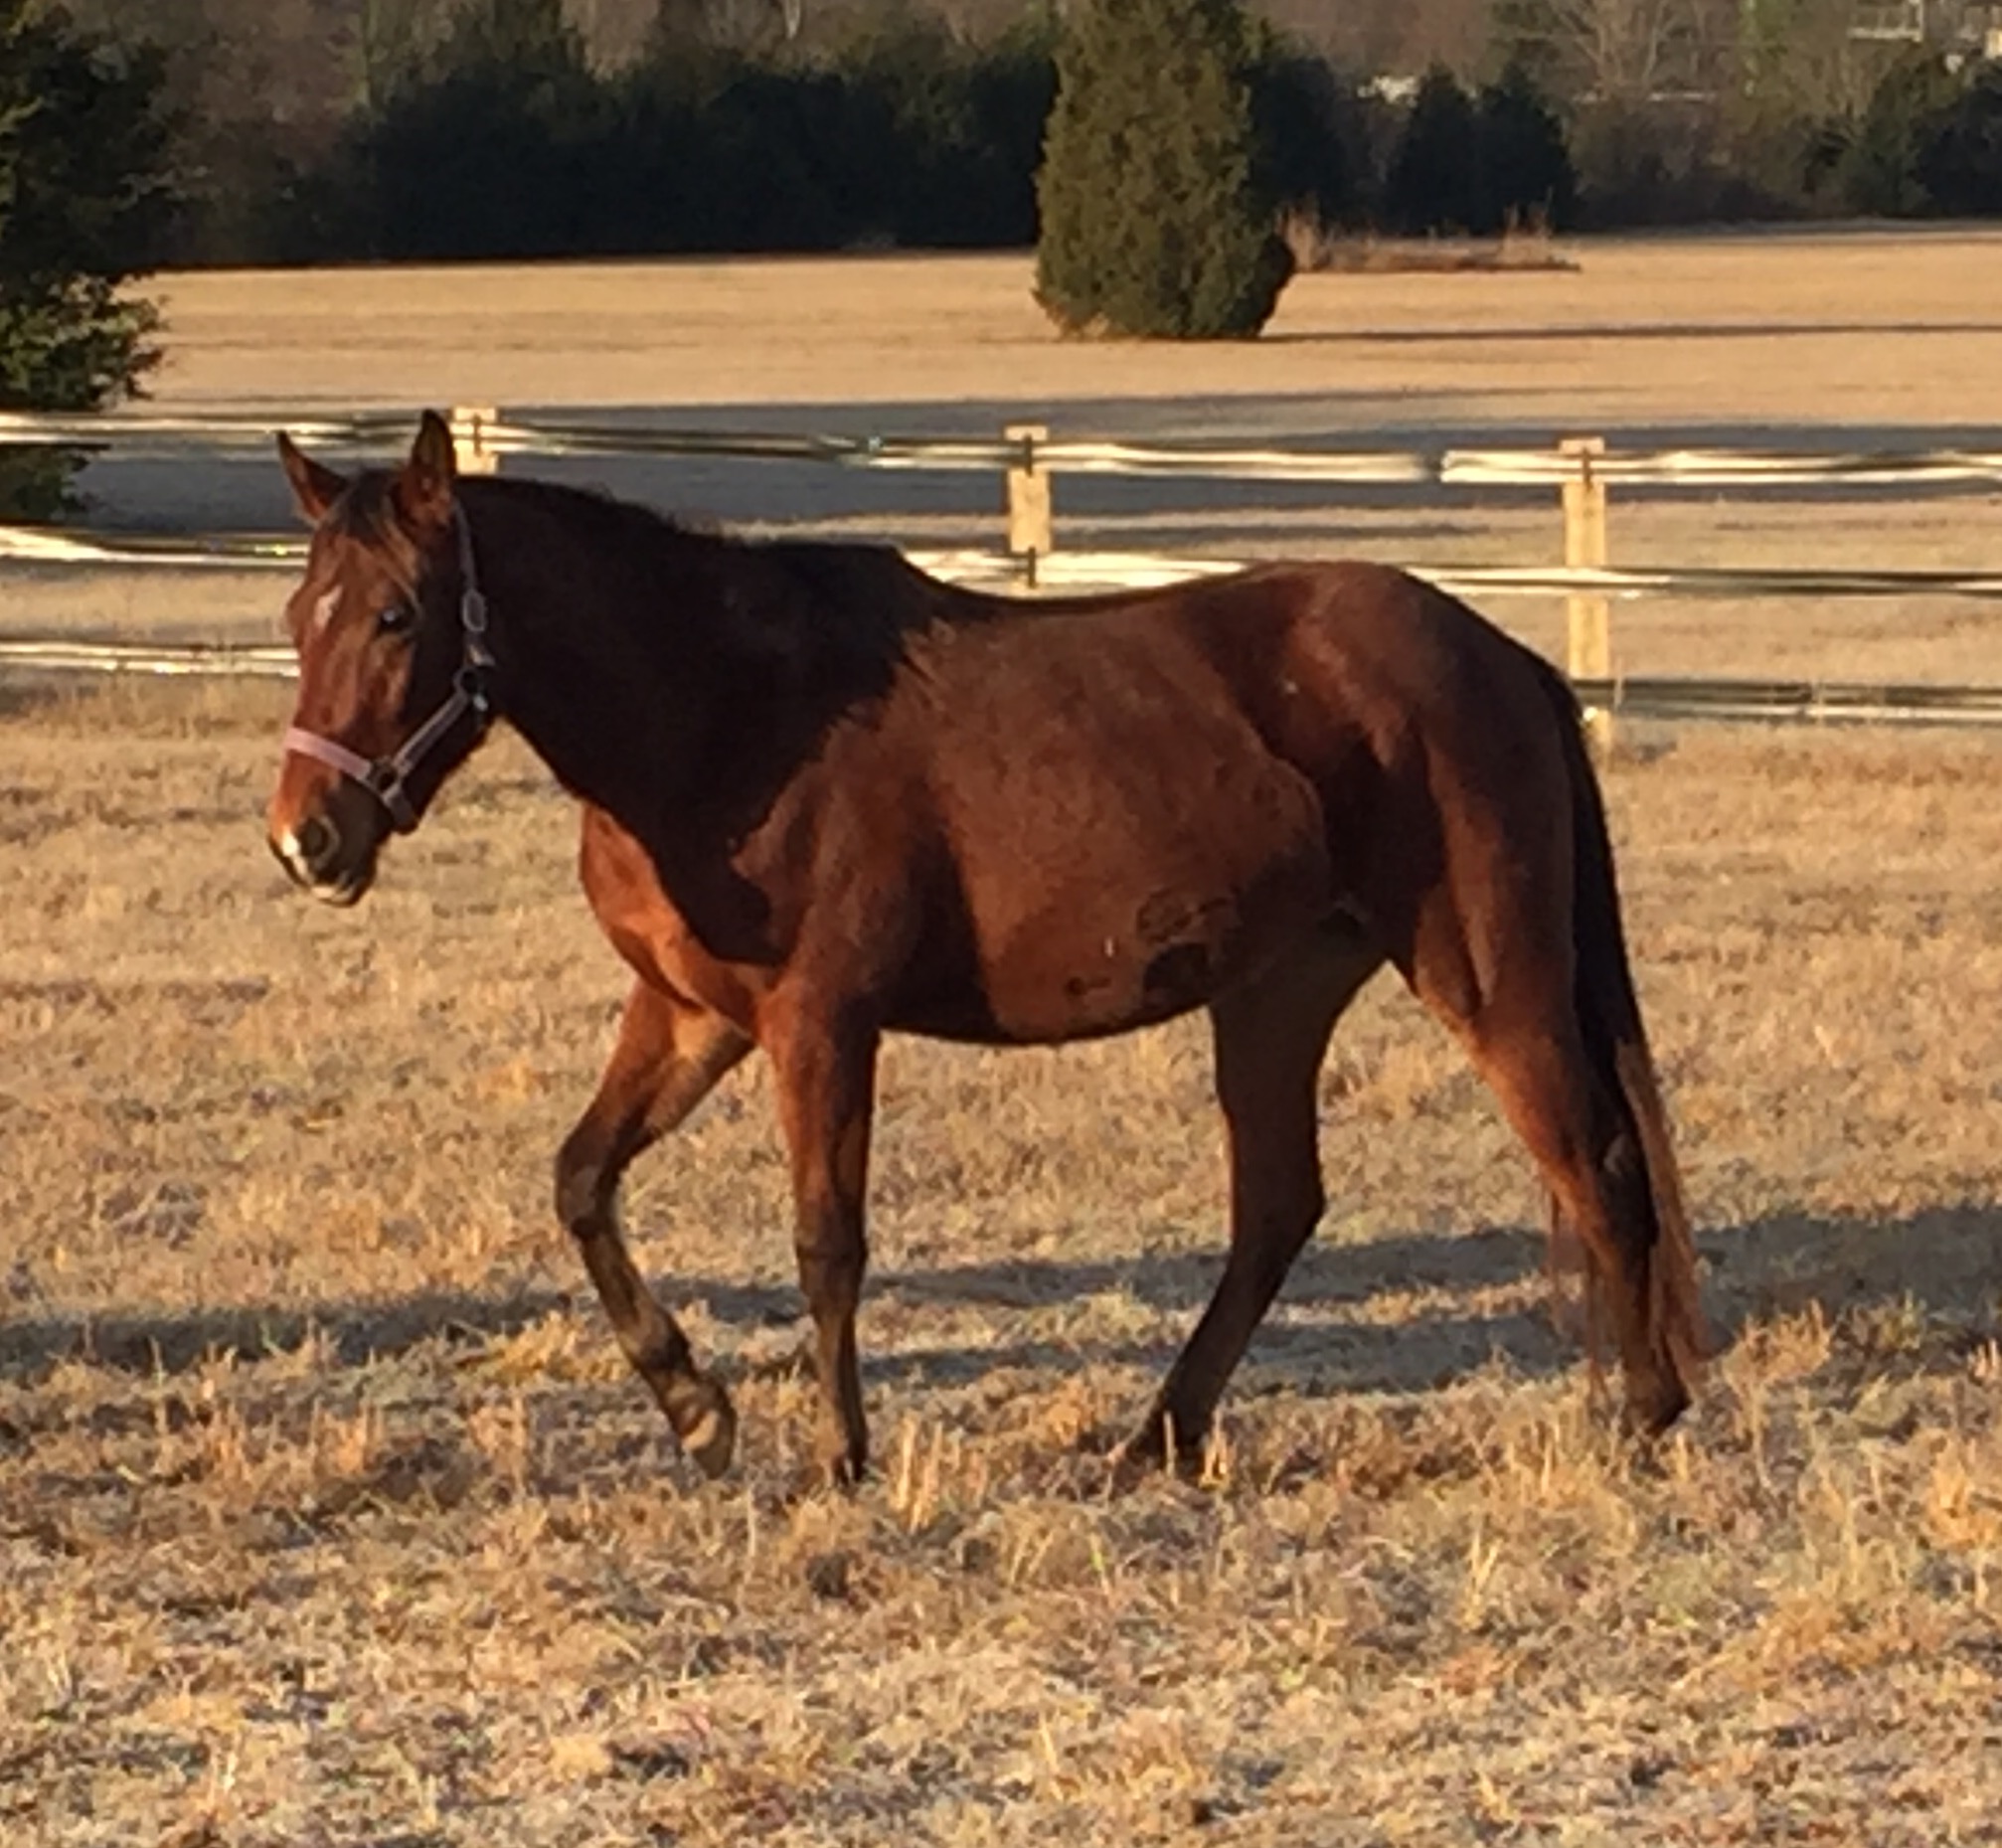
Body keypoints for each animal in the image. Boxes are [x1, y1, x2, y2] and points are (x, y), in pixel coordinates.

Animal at [265, 411, 1704, 1487]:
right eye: (298, 614)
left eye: (396, 615)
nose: (306, 838)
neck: (730, 711)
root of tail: (1504, 656)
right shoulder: (688, 1013)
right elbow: (581, 1180)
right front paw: (694, 1405)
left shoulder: (822, 1020)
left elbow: (825, 1237)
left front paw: (838, 1456)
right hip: (1276, 992)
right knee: (1277, 1206)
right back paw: (1157, 1435)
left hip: (1485, 971)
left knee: (1589, 1155)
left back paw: (1642, 1414)